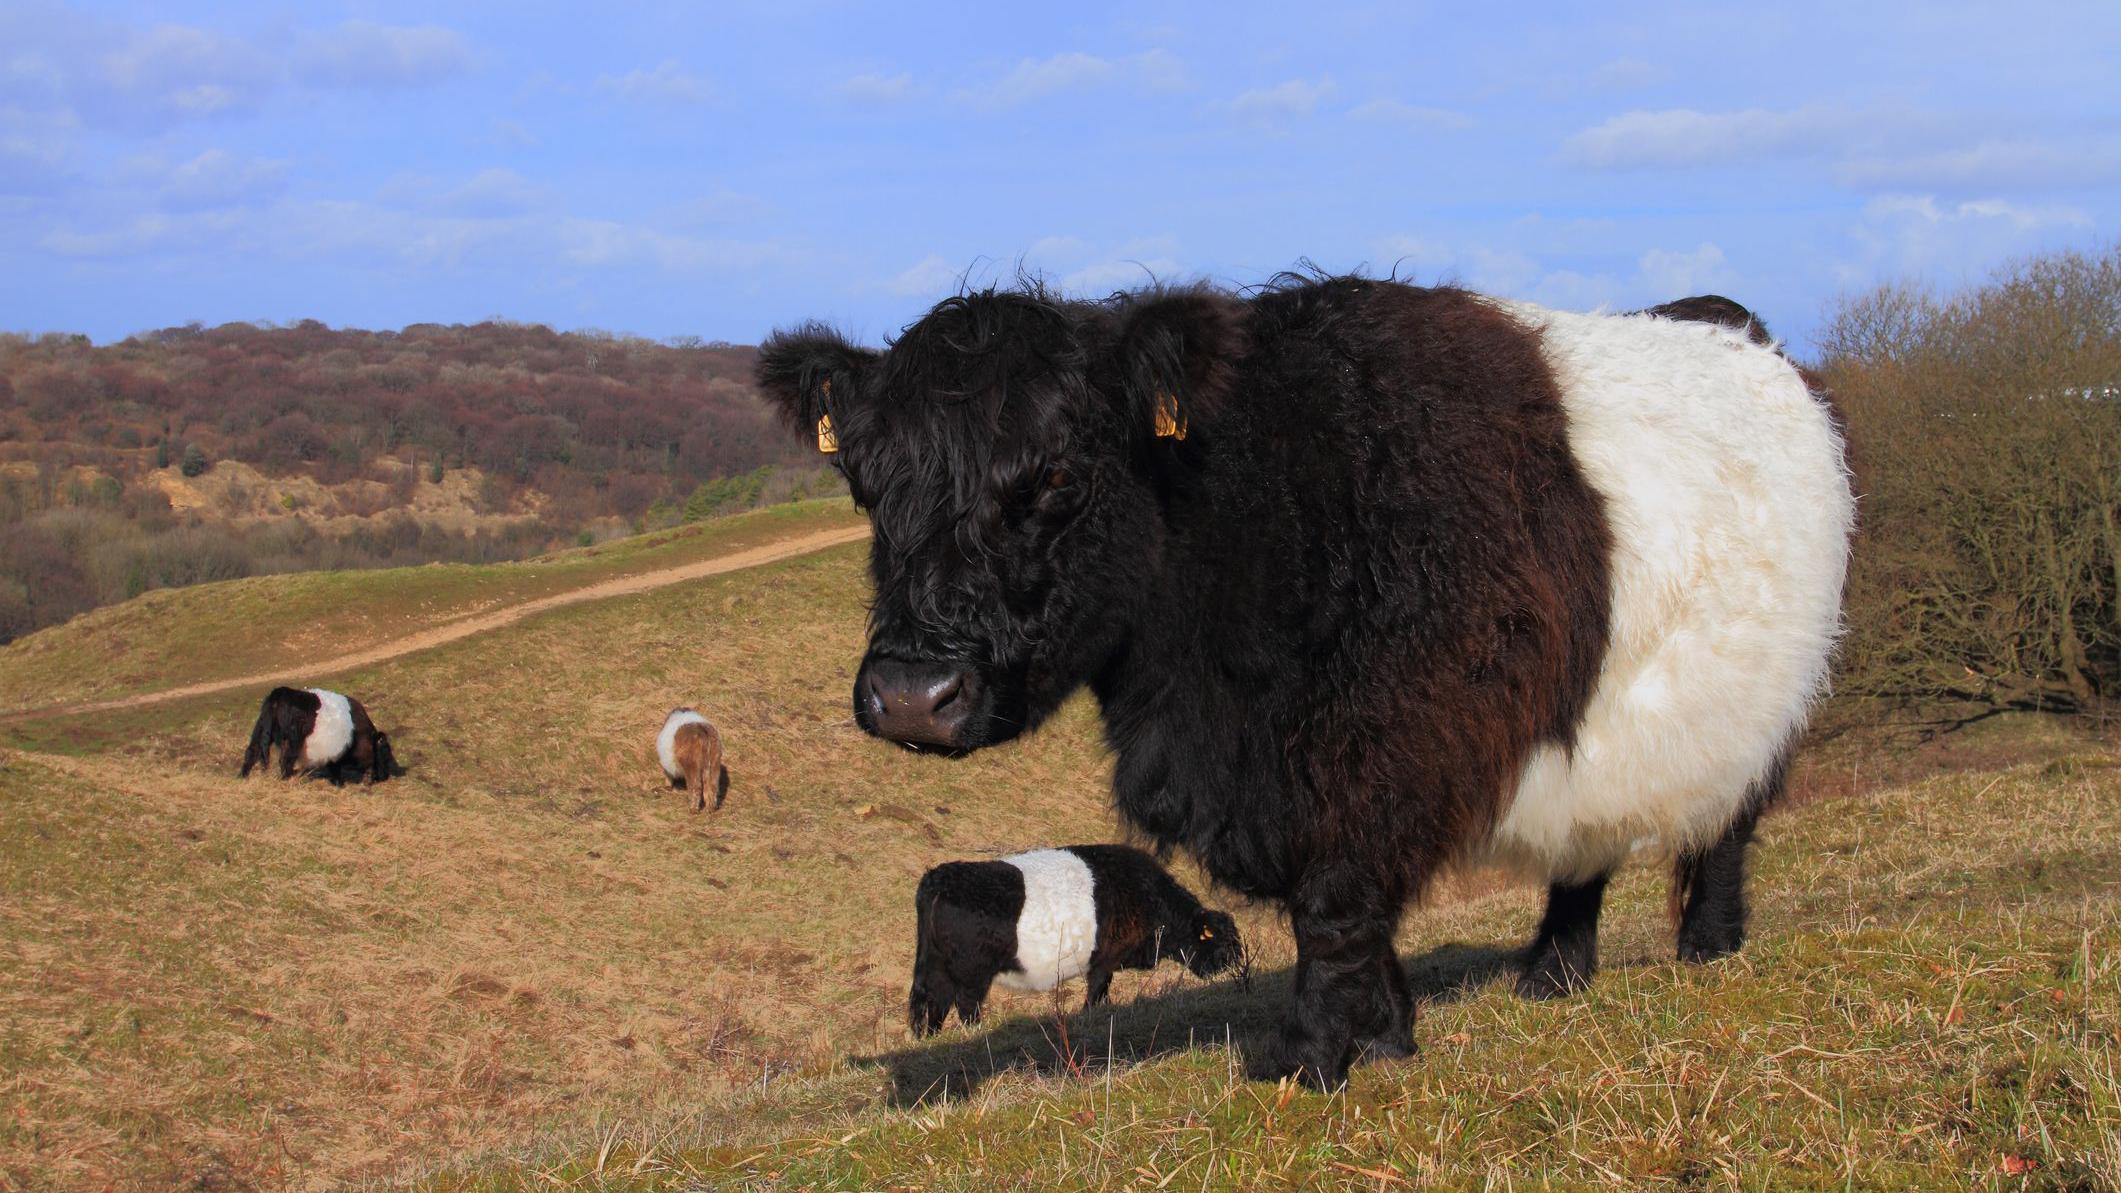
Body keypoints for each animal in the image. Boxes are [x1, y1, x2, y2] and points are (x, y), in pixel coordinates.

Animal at [754, 276, 1855, 1088]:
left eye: (1056, 474)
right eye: (864, 482)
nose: (911, 694)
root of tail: (1732, 324)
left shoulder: (1380, 742)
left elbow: (1336, 902)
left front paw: (1316, 1056)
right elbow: (1346, 910)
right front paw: (1386, 1032)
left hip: (1770, 705)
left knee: (1726, 826)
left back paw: (1707, 946)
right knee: (1583, 851)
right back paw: (1551, 972)